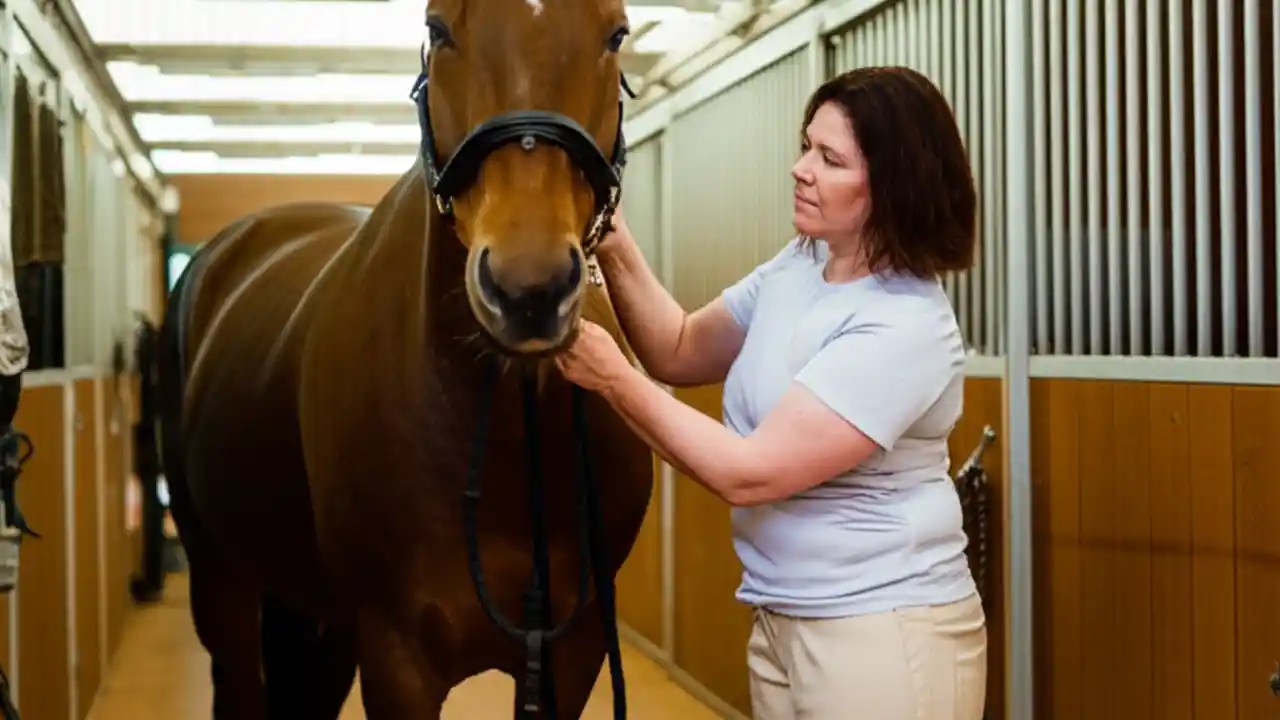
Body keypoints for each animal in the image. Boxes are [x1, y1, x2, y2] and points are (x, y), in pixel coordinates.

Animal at [154, 0, 654, 715]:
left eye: (616, 34)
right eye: (437, 29)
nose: (528, 292)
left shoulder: (573, 653)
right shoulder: (397, 659)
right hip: (222, 582)